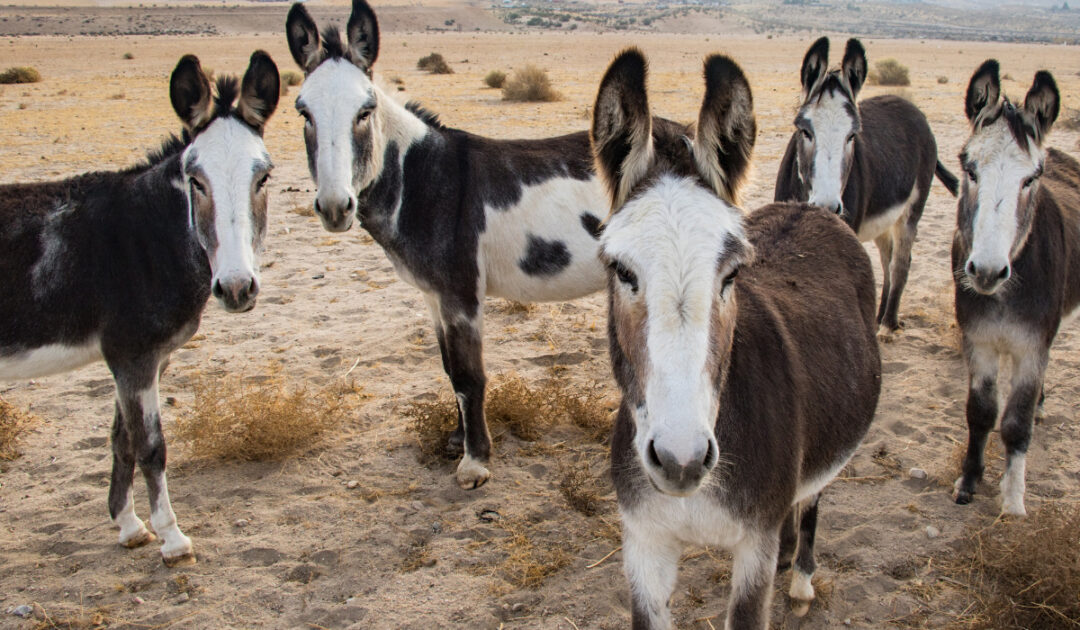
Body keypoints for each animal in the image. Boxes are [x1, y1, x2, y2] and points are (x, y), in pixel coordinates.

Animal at [0, 51, 280, 565]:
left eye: (263, 176)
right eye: (195, 182)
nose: (236, 289)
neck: (146, 239)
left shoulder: (150, 358)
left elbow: (121, 438)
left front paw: (128, 526)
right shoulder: (132, 356)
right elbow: (151, 445)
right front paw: (172, 537)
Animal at [285, 0, 619, 489]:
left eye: (366, 110)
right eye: (303, 112)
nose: (334, 207)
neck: (422, 178)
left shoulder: (461, 295)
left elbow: (468, 376)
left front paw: (475, 461)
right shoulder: (433, 296)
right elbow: (447, 368)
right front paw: (455, 441)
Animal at [592, 49, 881, 629]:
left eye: (731, 275)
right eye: (622, 271)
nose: (681, 460)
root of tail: (813, 208)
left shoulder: (753, 549)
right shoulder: (643, 543)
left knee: (812, 500)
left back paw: (801, 578)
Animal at [774, 37, 959, 334]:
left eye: (852, 135)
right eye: (804, 131)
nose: (827, 208)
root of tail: (911, 107)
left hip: (911, 210)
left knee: (900, 263)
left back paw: (889, 324)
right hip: (882, 220)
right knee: (887, 259)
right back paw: (879, 316)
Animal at [952, 60, 1080, 517]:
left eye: (1030, 179)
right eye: (969, 168)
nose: (987, 271)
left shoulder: (1031, 347)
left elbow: (1016, 422)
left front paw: (1012, 499)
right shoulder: (979, 340)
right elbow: (981, 412)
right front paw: (969, 481)